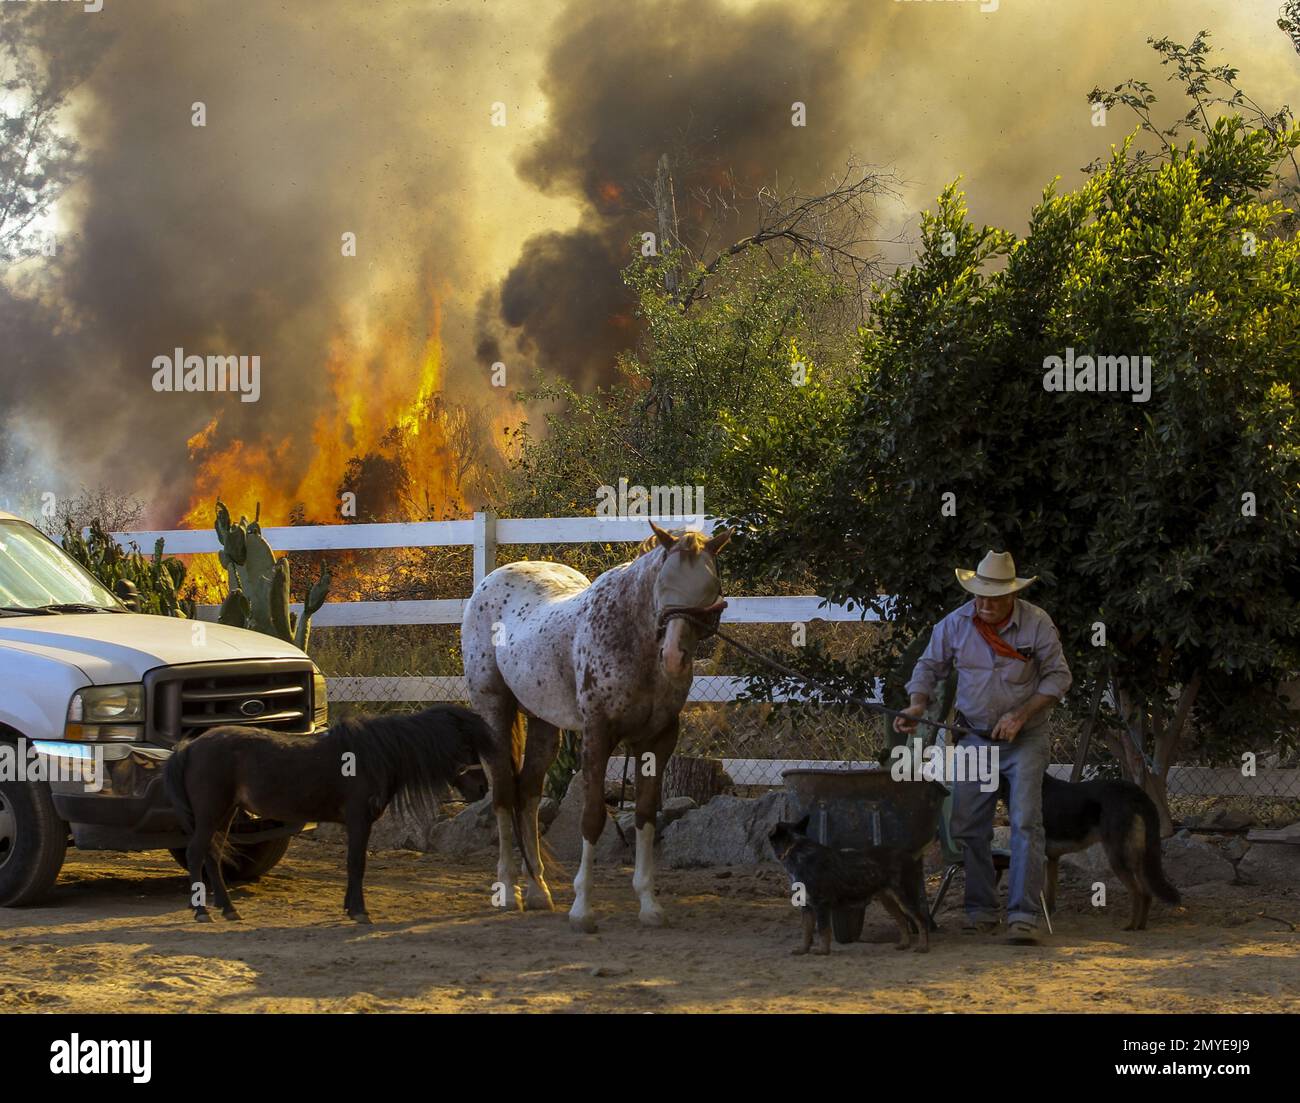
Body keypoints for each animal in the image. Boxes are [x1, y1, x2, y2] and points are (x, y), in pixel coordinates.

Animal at [162, 704, 491, 923]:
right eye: (466, 748)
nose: (483, 788)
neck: (372, 756)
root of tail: (190, 747)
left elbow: (353, 864)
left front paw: (349, 907)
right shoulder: (359, 820)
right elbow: (356, 863)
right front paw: (359, 911)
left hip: (225, 813)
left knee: (212, 854)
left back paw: (228, 908)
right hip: (211, 813)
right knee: (196, 853)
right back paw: (201, 911)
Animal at [461, 520, 730, 933]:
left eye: (709, 587)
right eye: (662, 584)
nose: (673, 657)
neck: (633, 640)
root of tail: (492, 579)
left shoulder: (658, 740)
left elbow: (645, 816)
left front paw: (649, 905)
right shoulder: (598, 736)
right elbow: (592, 818)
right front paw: (582, 909)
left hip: (543, 722)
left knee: (528, 794)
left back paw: (537, 890)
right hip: (493, 709)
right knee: (504, 794)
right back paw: (507, 891)